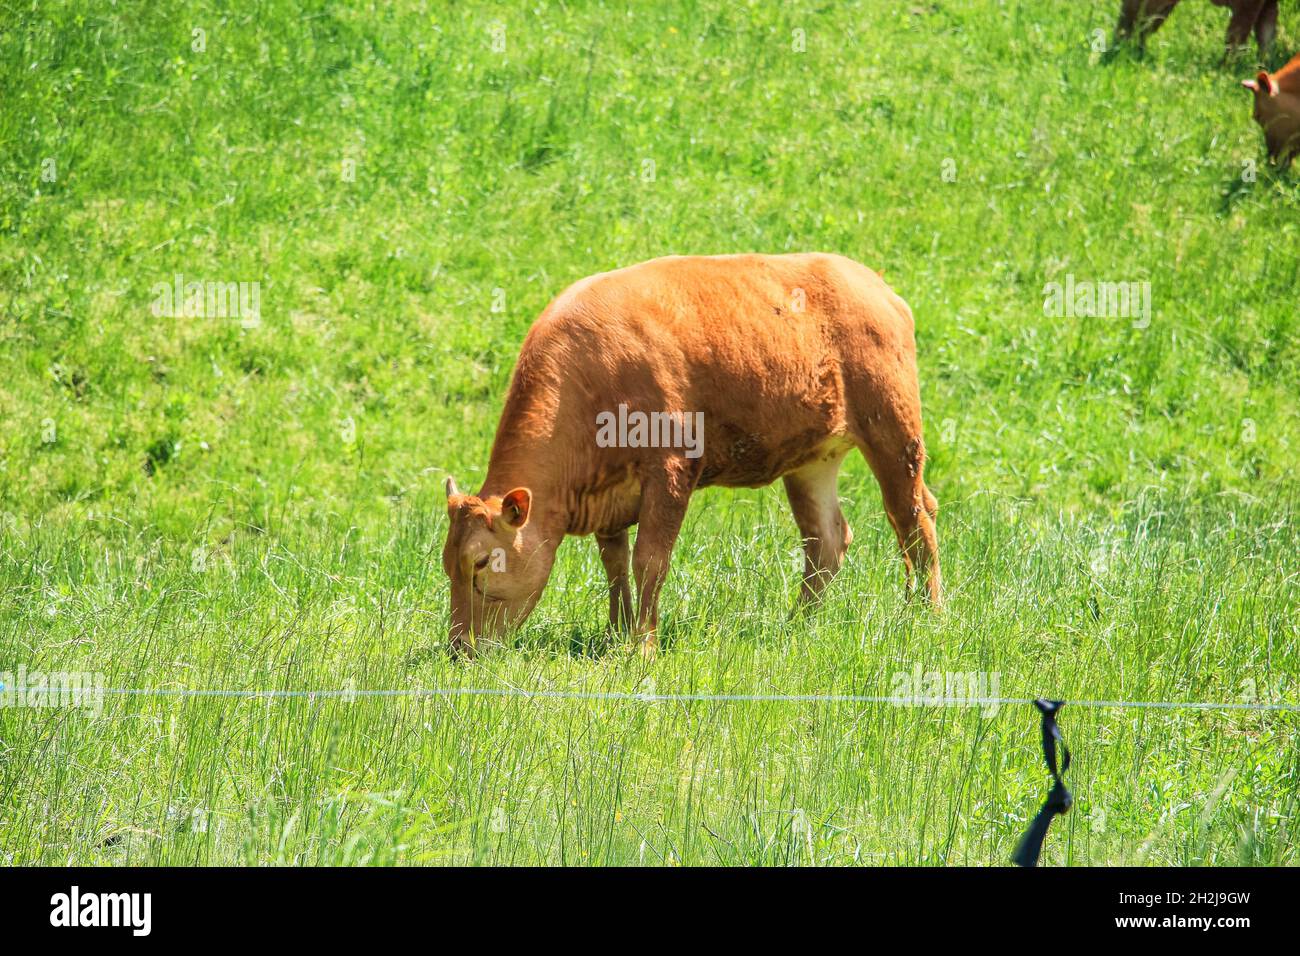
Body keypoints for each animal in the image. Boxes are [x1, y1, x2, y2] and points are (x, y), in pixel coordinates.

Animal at [442, 253, 942, 658]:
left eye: (483, 563)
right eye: (448, 565)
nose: (459, 648)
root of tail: (873, 283)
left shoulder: (670, 469)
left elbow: (649, 560)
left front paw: (642, 647)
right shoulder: (610, 497)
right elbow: (615, 565)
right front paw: (616, 634)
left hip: (893, 432)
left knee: (913, 521)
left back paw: (926, 616)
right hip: (811, 460)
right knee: (826, 541)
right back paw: (797, 624)